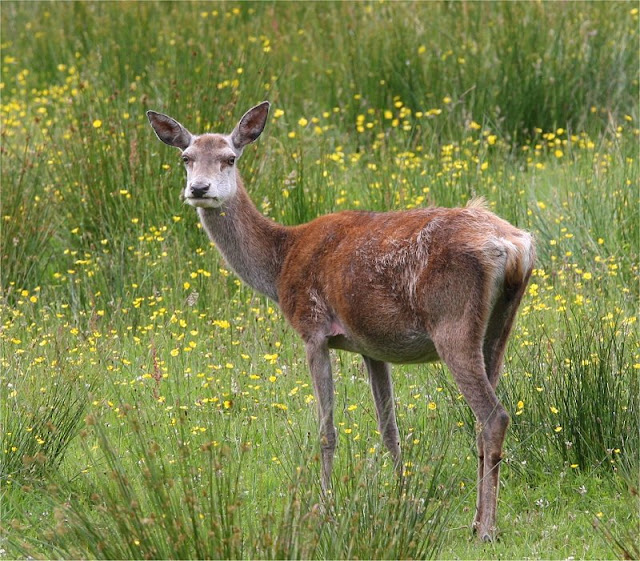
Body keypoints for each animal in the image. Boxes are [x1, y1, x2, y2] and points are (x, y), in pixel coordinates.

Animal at [147, 101, 535, 542]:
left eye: (229, 158)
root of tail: (514, 246)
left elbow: (326, 430)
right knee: (483, 417)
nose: (198, 189)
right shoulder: (372, 345)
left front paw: (324, 508)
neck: (279, 264)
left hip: (451, 321)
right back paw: (475, 520)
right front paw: (403, 497)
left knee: (493, 415)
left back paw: (487, 528)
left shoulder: (312, 328)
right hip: (499, 324)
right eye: (186, 158)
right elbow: (389, 428)